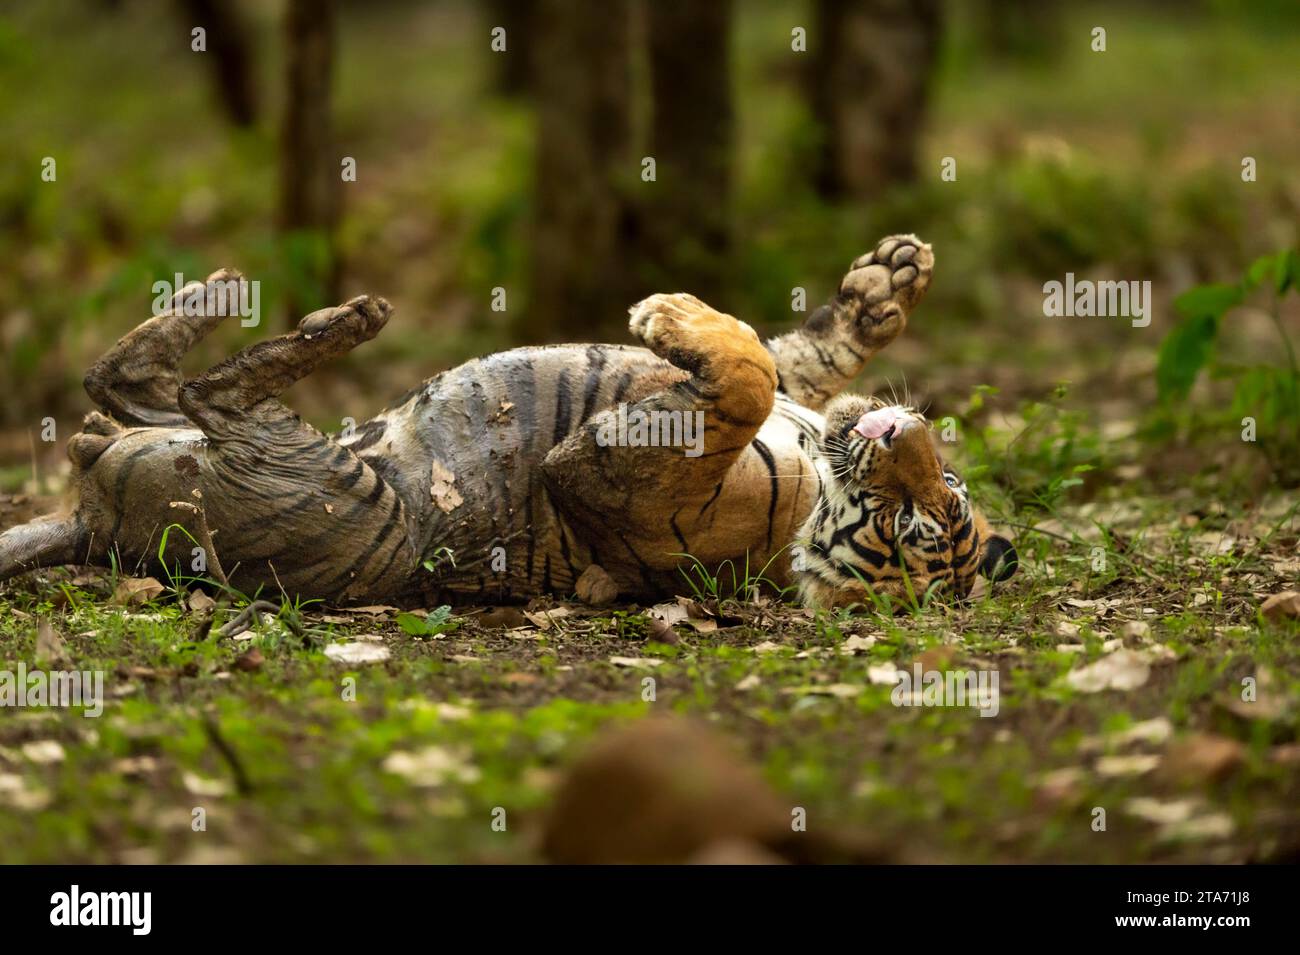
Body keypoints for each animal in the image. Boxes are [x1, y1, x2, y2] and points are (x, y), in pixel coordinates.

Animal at [0, 235, 1016, 609]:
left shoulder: (619, 468)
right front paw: (888, 282)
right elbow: (789, 357)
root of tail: (90, 520)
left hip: (327, 486)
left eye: (910, 524)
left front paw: (662, 309)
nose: (906, 437)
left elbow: (751, 377)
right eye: (941, 490)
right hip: (175, 428)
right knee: (119, 378)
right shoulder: (803, 401)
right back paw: (229, 287)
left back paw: (340, 315)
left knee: (203, 392)